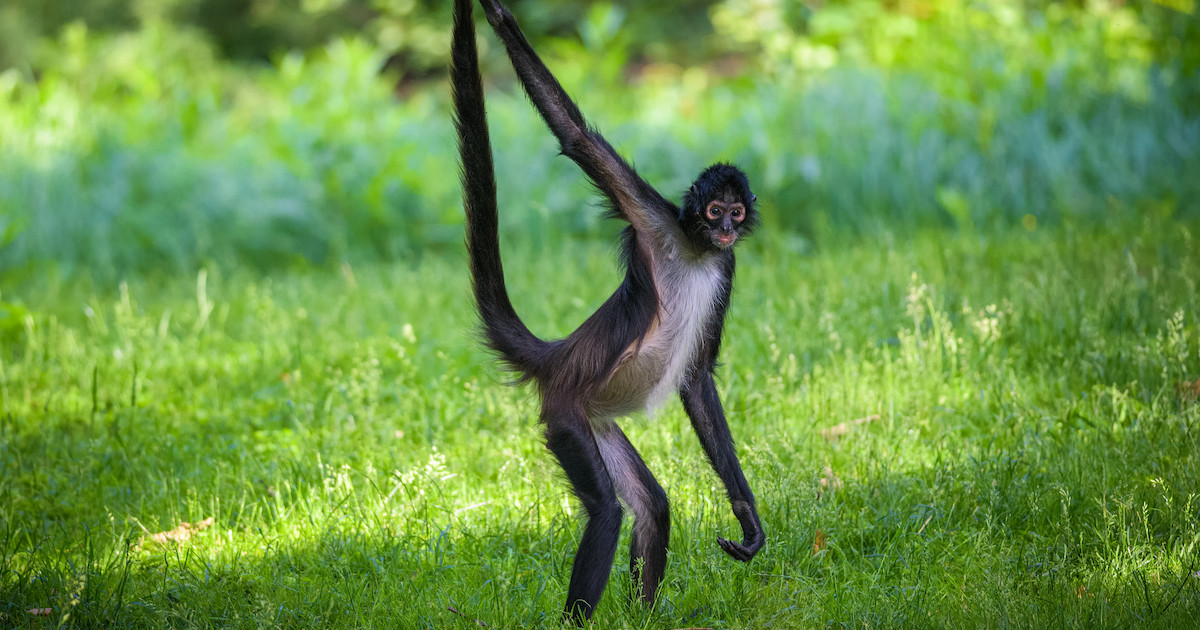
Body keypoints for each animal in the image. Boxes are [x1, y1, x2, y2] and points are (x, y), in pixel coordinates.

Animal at [451, 0, 764, 623]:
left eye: (737, 213)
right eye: (713, 210)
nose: (724, 227)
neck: (695, 250)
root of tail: (560, 357)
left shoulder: (728, 266)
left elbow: (697, 377)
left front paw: (747, 518)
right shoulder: (650, 216)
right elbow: (575, 136)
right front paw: (499, 18)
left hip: (596, 417)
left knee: (651, 504)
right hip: (567, 412)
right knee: (606, 512)